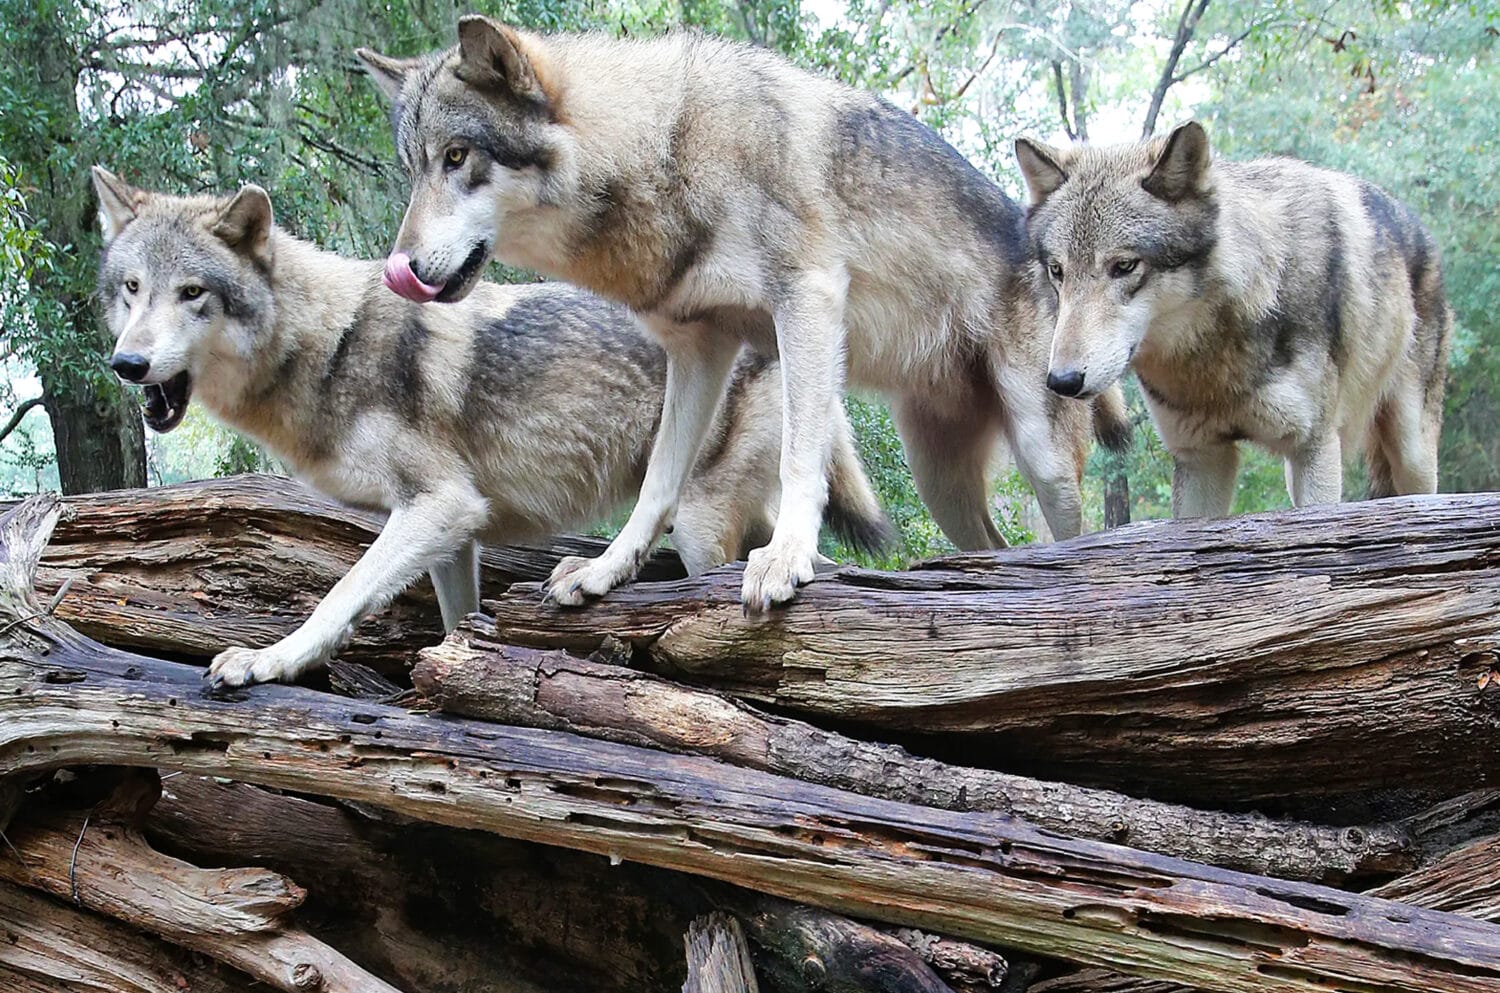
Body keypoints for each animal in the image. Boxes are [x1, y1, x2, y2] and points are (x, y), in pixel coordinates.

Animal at [90, 167, 891, 688]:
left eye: (192, 293)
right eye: (131, 289)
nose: (127, 364)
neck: (330, 343)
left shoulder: (440, 505)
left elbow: (340, 595)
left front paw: (270, 660)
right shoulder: (453, 534)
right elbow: (455, 625)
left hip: (695, 526)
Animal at [356, 19, 1129, 613]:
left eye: (458, 157)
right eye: (413, 167)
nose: (401, 266)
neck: (665, 149)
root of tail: (1053, 247)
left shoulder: (807, 299)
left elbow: (800, 459)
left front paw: (785, 559)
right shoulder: (698, 347)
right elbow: (657, 484)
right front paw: (606, 571)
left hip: (1040, 451)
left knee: (1067, 534)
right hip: (938, 480)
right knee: (991, 548)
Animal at [1016, 121, 1450, 515]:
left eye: (1124, 266)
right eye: (1057, 271)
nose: (1062, 381)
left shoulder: (1314, 448)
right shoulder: (1202, 456)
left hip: (1411, 454)